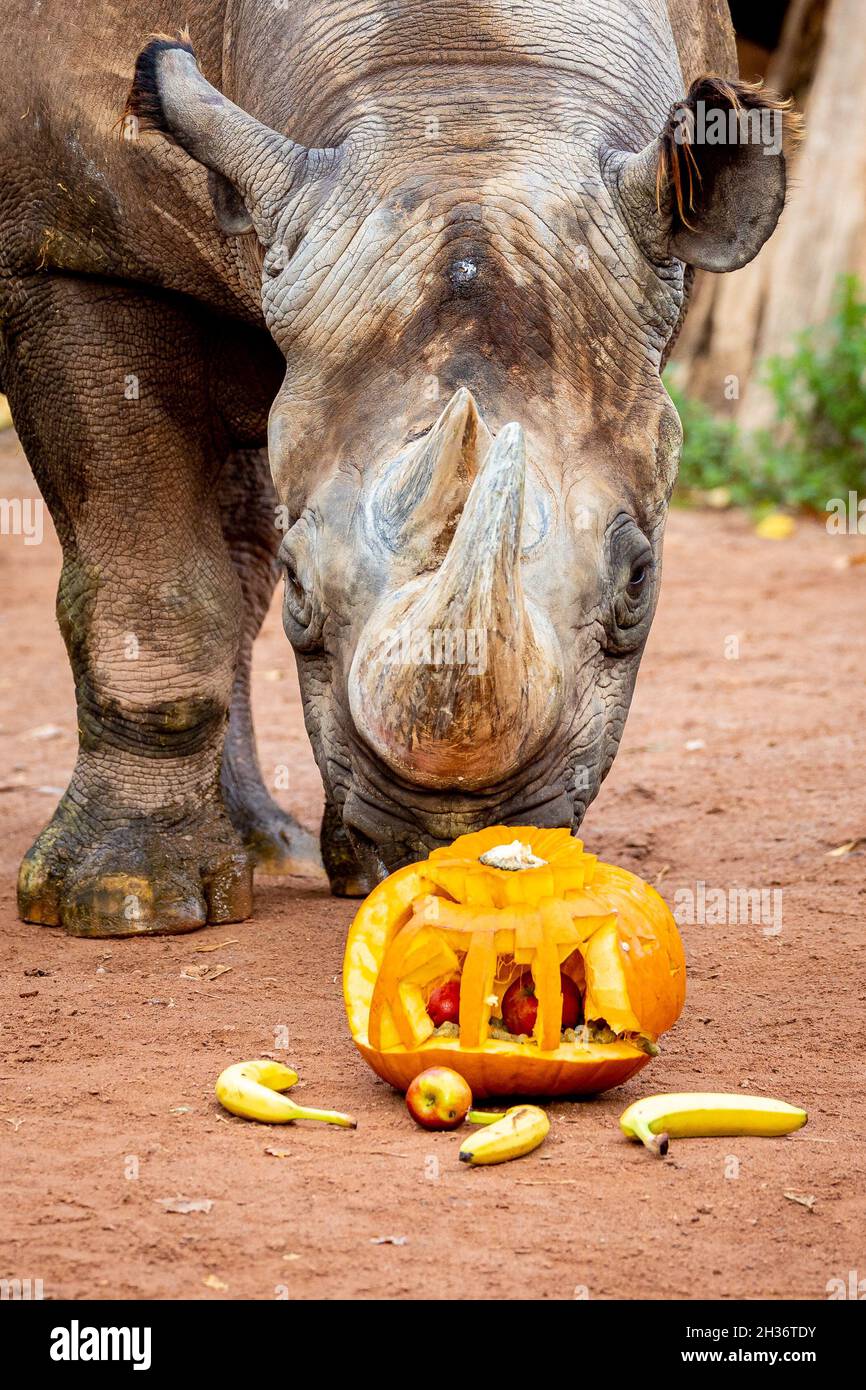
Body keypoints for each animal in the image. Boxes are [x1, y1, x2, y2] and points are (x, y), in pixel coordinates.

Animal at [0, 1, 794, 936]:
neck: (462, 91)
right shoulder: (65, 252)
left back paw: (276, 849)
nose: (456, 838)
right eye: (302, 587)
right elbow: (149, 577)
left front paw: (365, 871)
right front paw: (125, 898)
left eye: (640, 579)